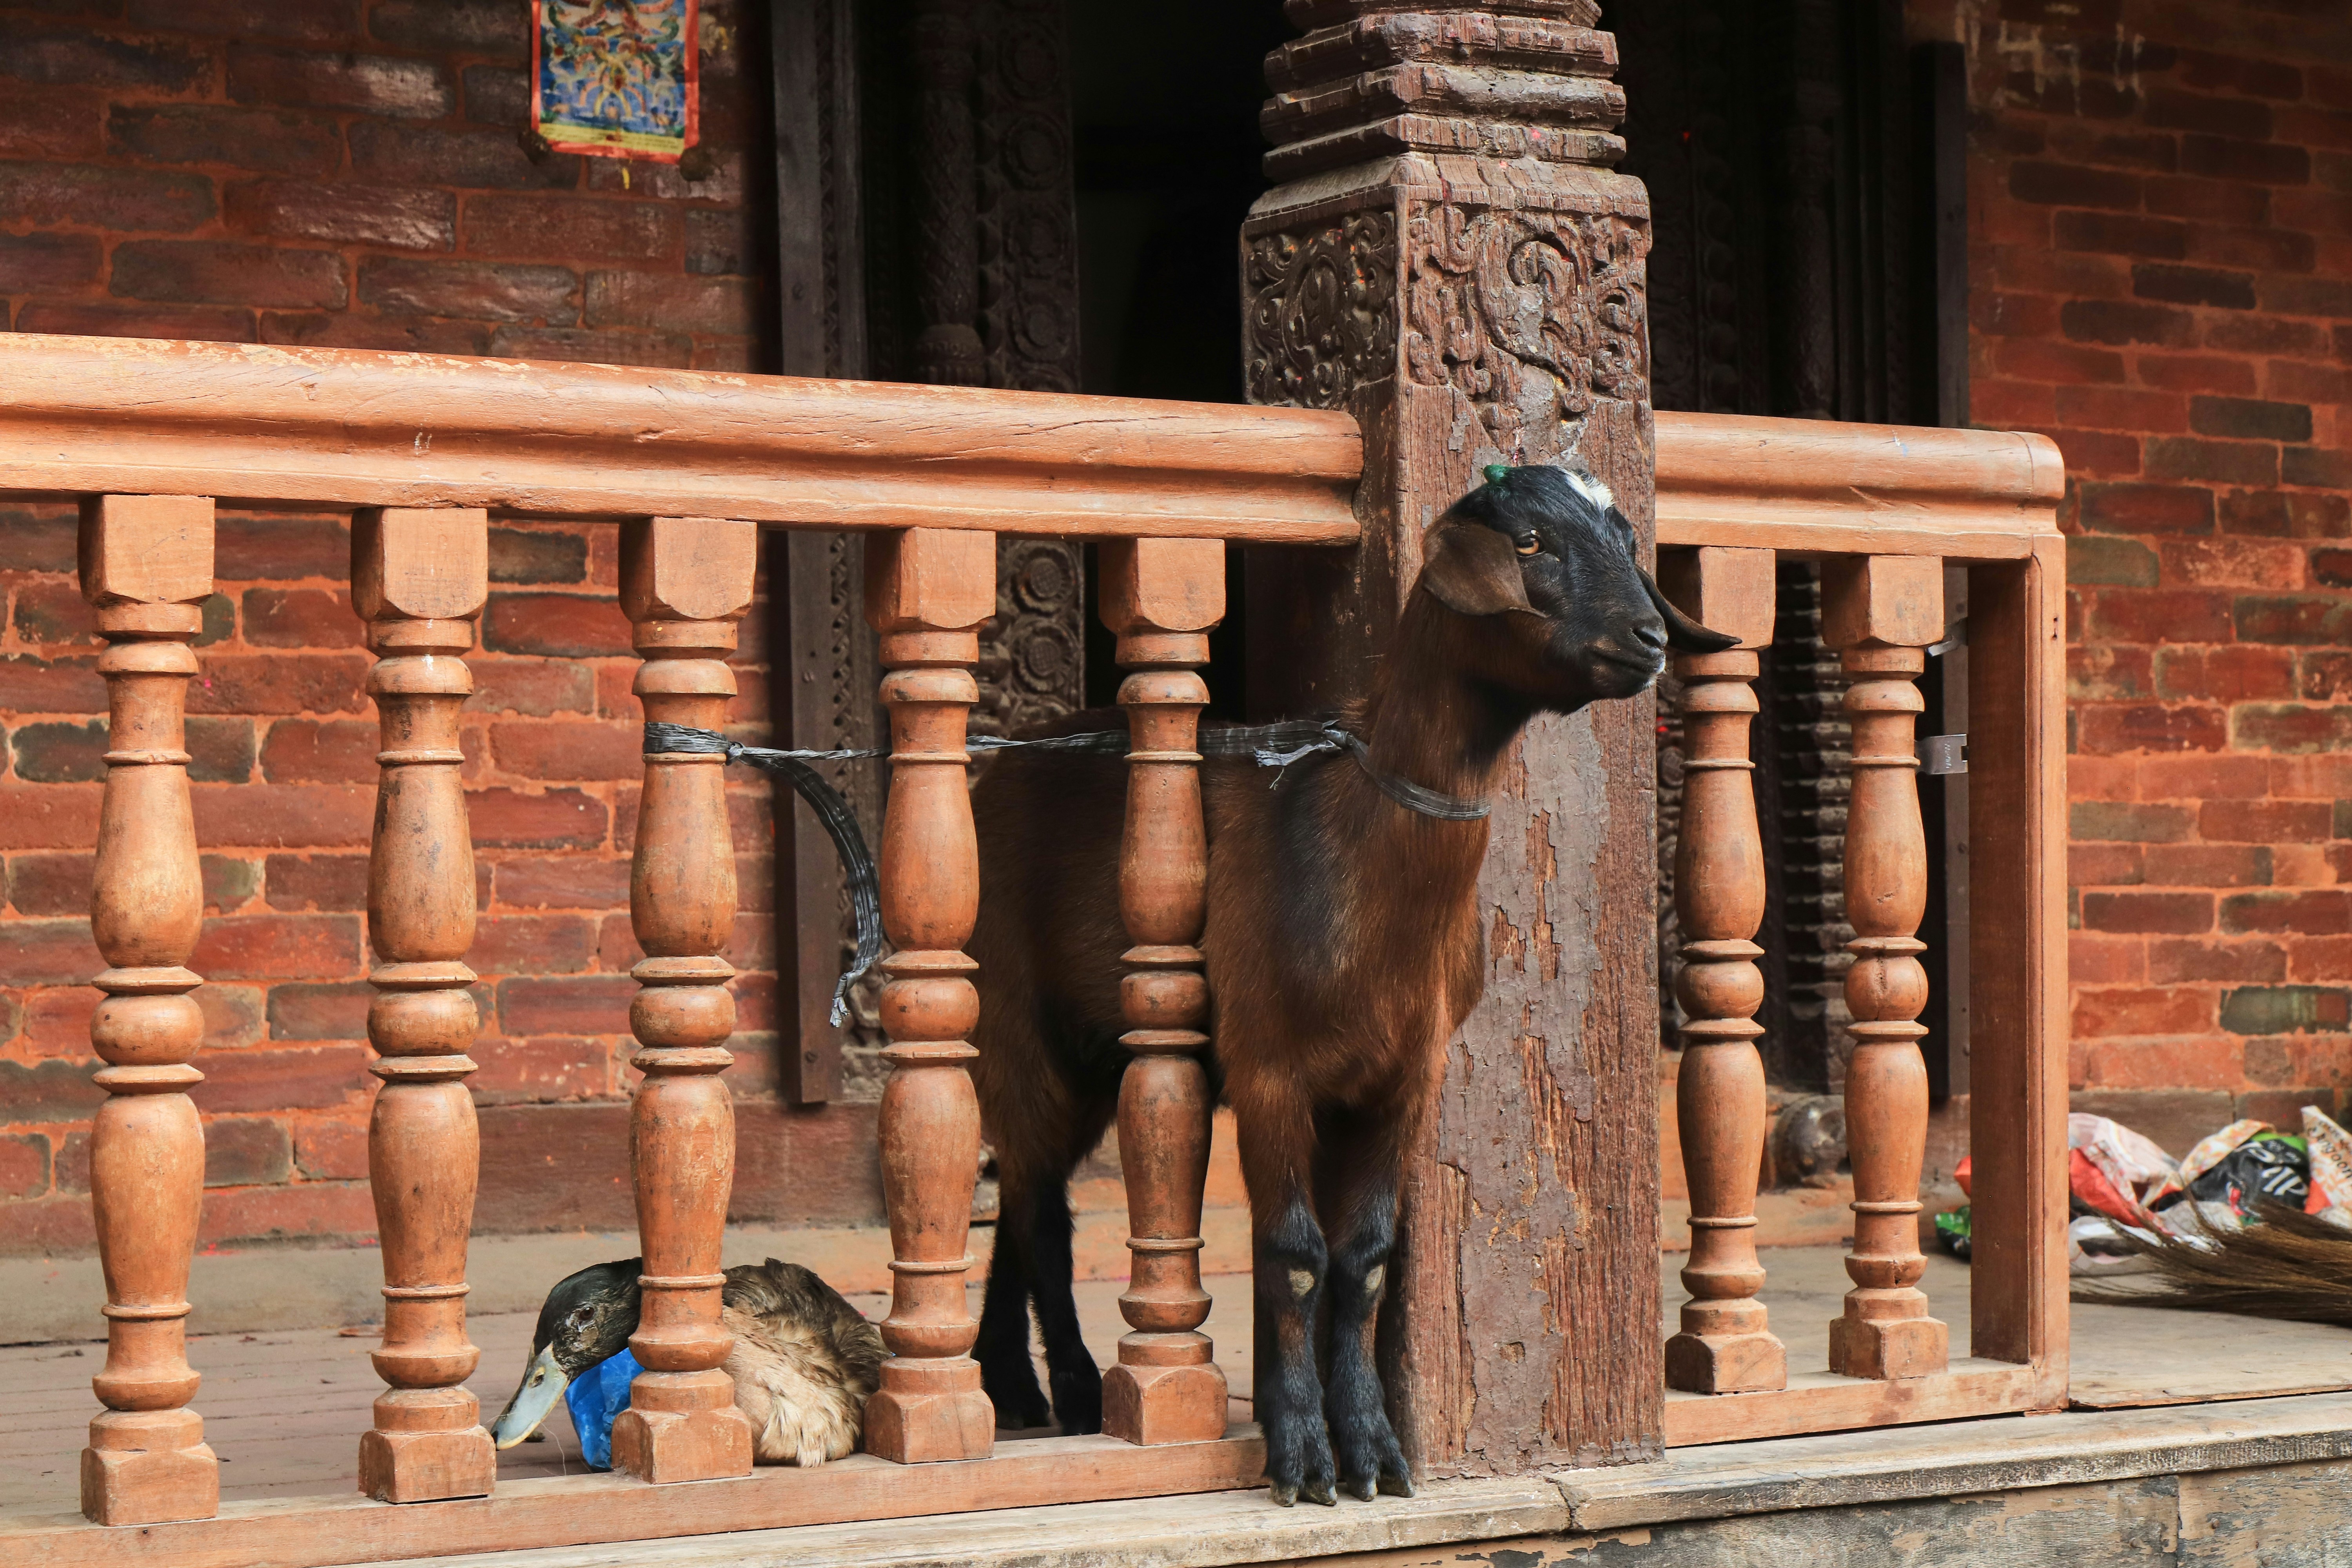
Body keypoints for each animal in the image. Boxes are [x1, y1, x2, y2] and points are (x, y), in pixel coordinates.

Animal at [965, 465, 1731, 1505]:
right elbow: (1293, 1254)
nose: (1649, 640)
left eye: (1623, 537)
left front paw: (1371, 1443)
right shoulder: (1269, 1067)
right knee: (1042, 1214)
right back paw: (1080, 1394)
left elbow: (1364, 1258)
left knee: (1016, 1194)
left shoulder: (1406, 1077)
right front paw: (1301, 1450)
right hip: (1019, 1018)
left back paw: (1009, 1384)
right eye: (1531, 541)